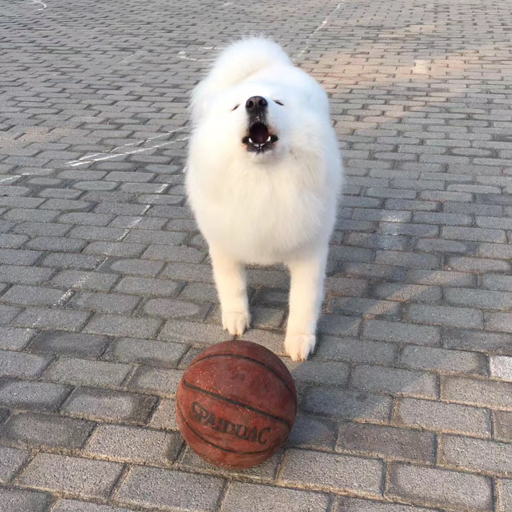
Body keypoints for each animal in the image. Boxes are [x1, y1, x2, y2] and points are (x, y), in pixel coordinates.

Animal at [186, 38, 344, 360]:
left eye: (279, 103)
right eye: (236, 107)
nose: (256, 102)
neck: (264, 181)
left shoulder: (309, 251)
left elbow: (303, 301)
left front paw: (299, 341)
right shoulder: (224, 244)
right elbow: (232, 286)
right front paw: (236, 319)